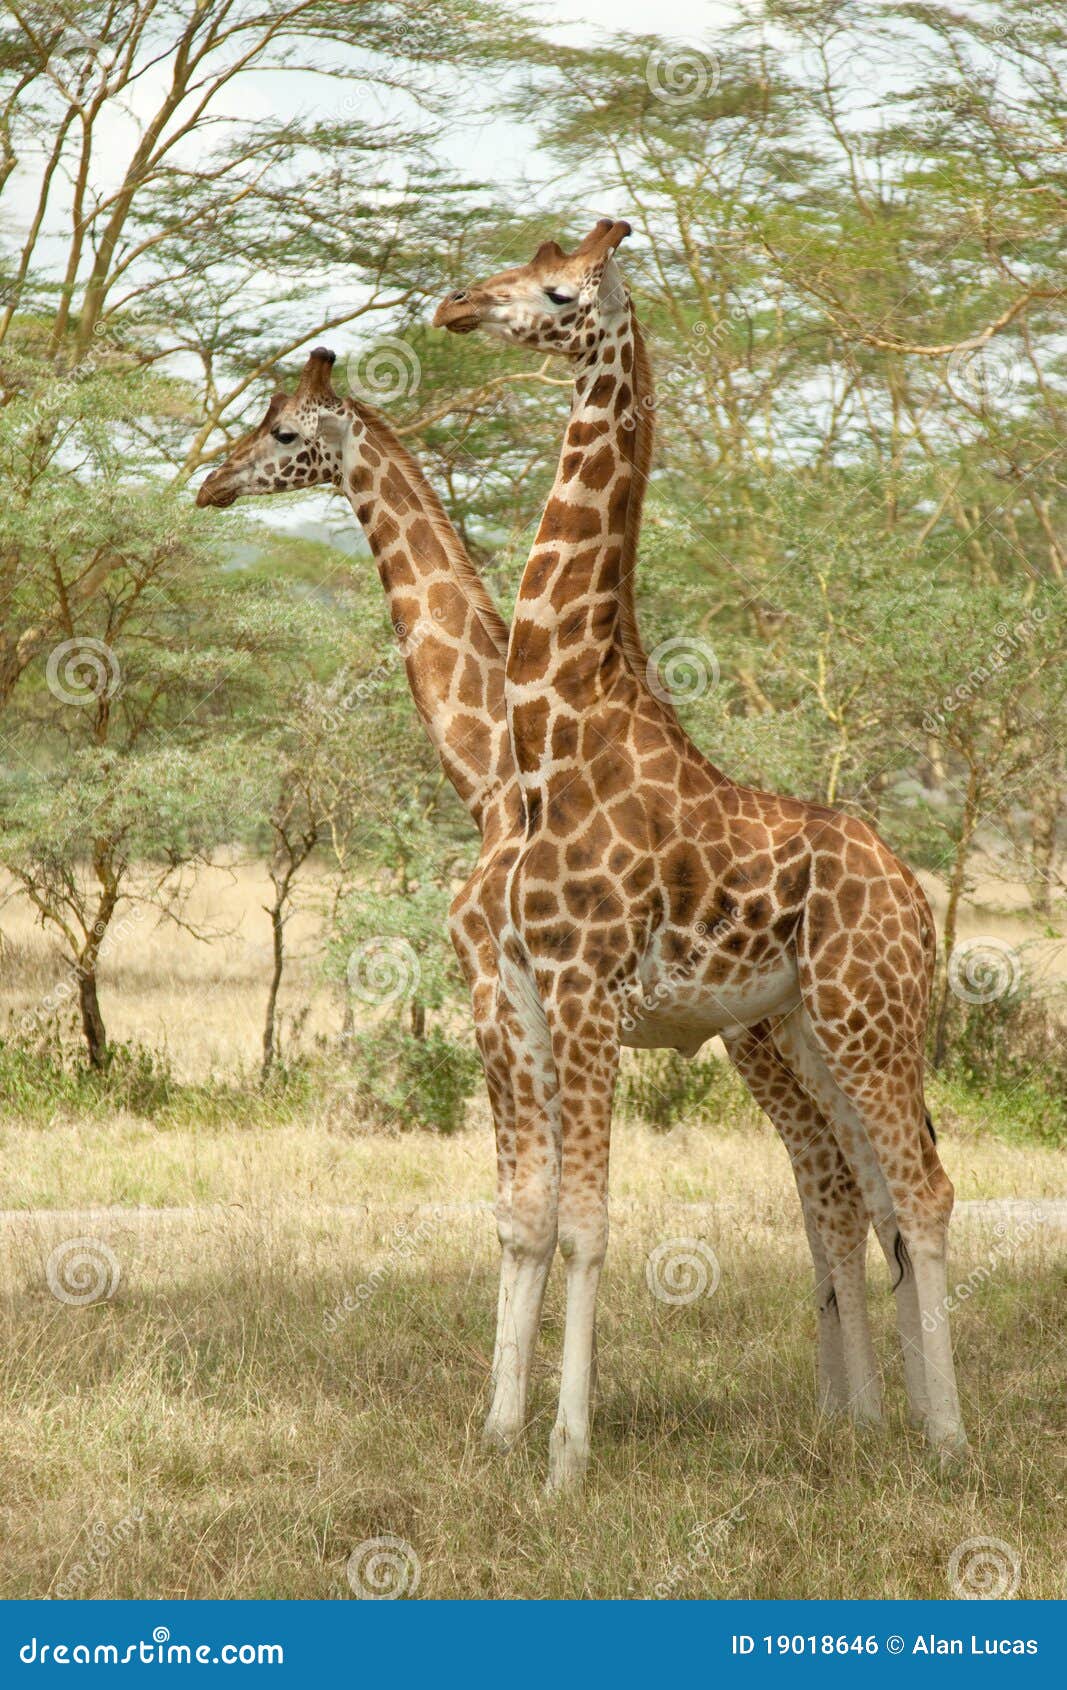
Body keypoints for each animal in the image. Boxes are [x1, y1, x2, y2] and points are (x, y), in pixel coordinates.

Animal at [435, 221, 967, 1489]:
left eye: (560, 292)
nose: (457, 305)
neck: (553, 733)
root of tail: (911, 894)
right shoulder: (524, 995)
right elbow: (532, 1216)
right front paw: (499, 1434)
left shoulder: (582, 991)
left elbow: (587, 1224)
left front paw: (565, 1459)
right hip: (810, 1031)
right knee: (875, 1193)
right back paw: (895, 1429)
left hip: (869, 1022)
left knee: (919, 1192)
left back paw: (946, 1437)